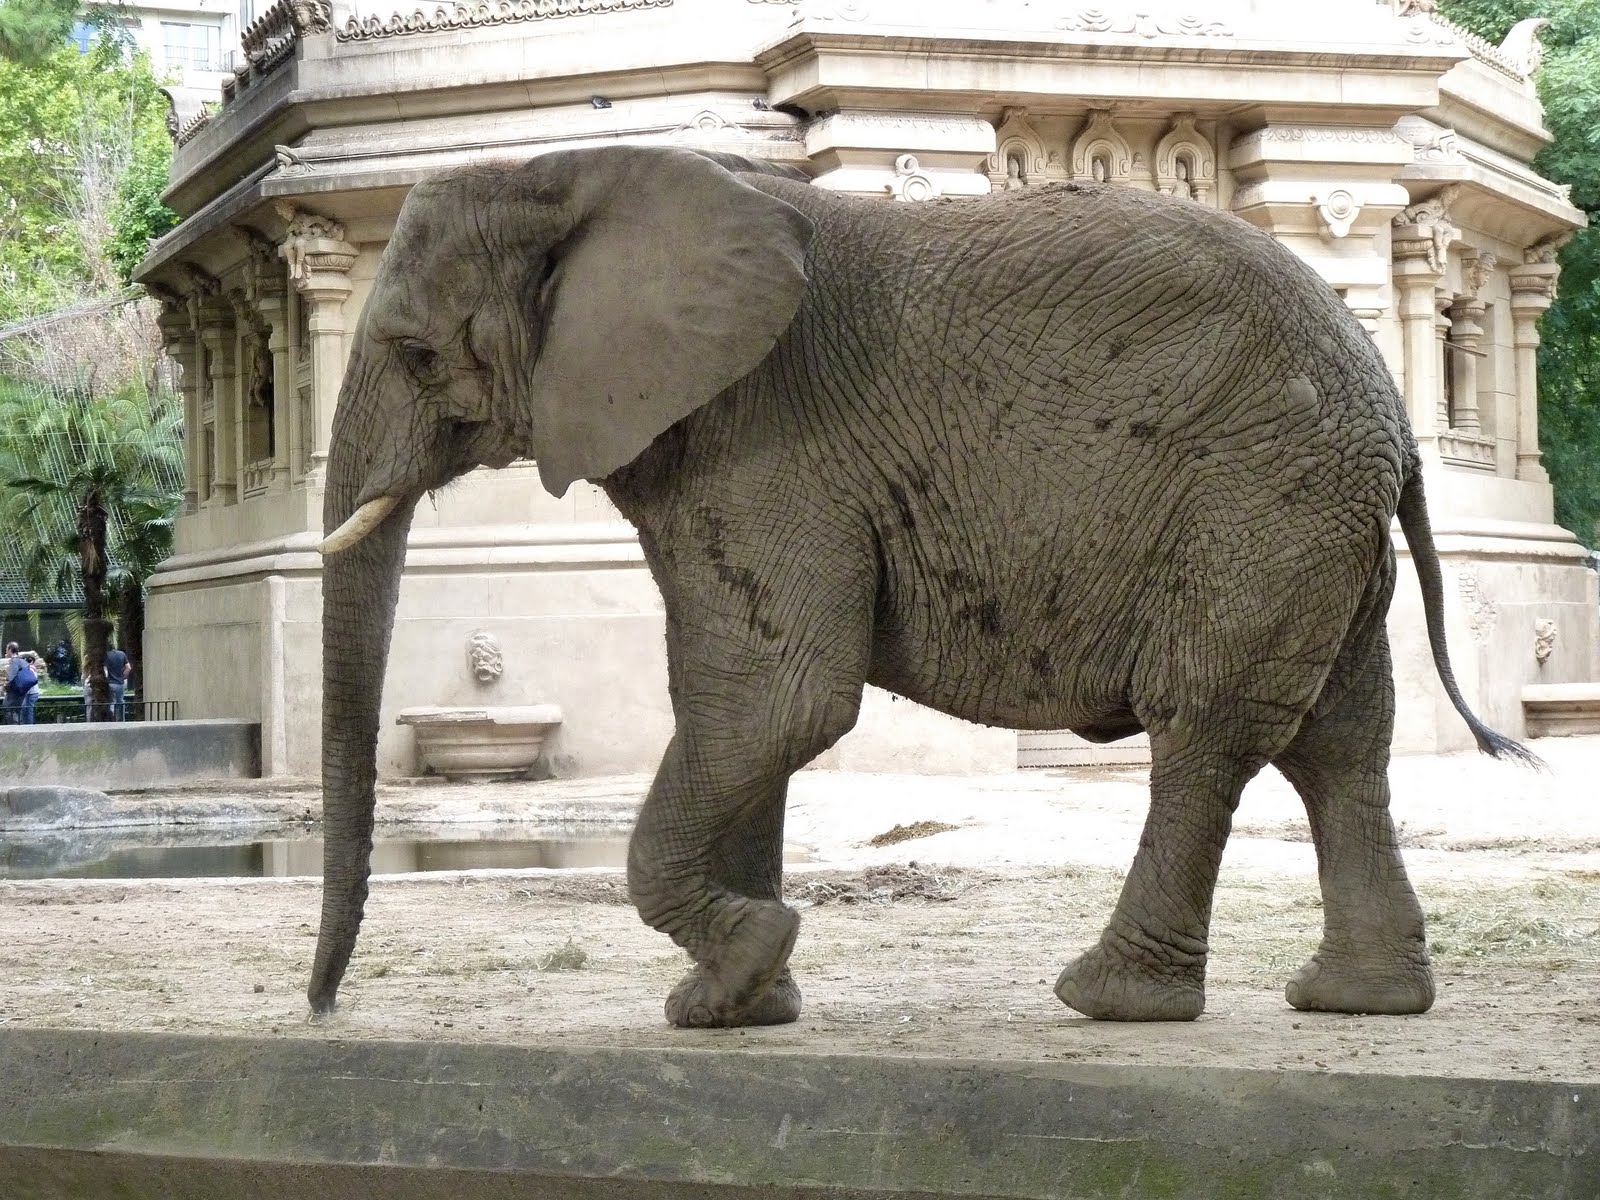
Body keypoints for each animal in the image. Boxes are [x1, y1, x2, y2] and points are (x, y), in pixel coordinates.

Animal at [309, 145, 1534, 1028]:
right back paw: (1356, 1002)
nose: (323, 1013)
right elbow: (732, 703)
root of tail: (1394, 422)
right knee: (1342, 741)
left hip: (1262, 499)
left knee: (1208, 726)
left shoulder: (770, 443)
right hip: (1318, 522)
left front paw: (742, 967)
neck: (568, 170)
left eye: (418, 354)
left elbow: (776, 700)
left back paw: (1109, 1001)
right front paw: (741, 1008)